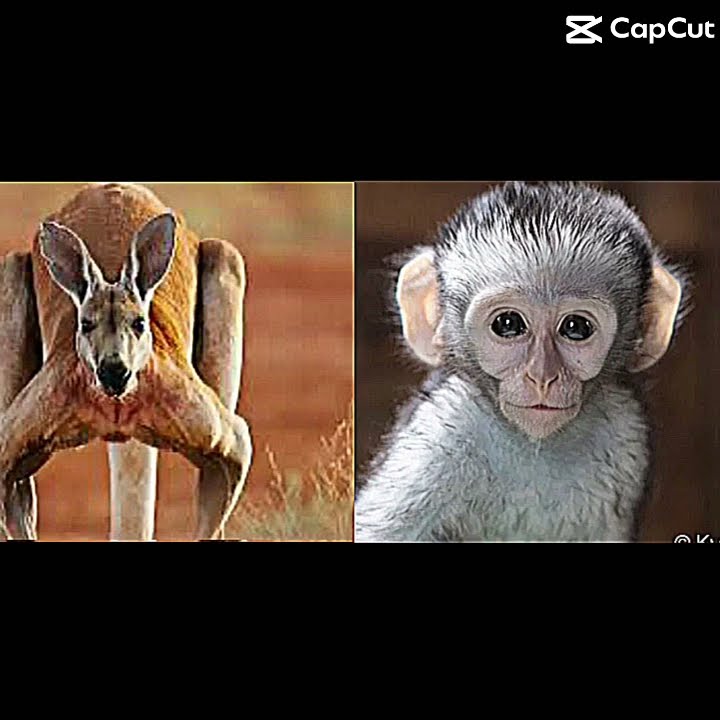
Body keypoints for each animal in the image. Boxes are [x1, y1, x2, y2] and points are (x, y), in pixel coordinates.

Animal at [354, 182, 689, 542]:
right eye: (508, 324)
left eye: (576, 327)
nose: (541, 377)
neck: (535, 446)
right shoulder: (442, 431)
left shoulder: (627, 432)